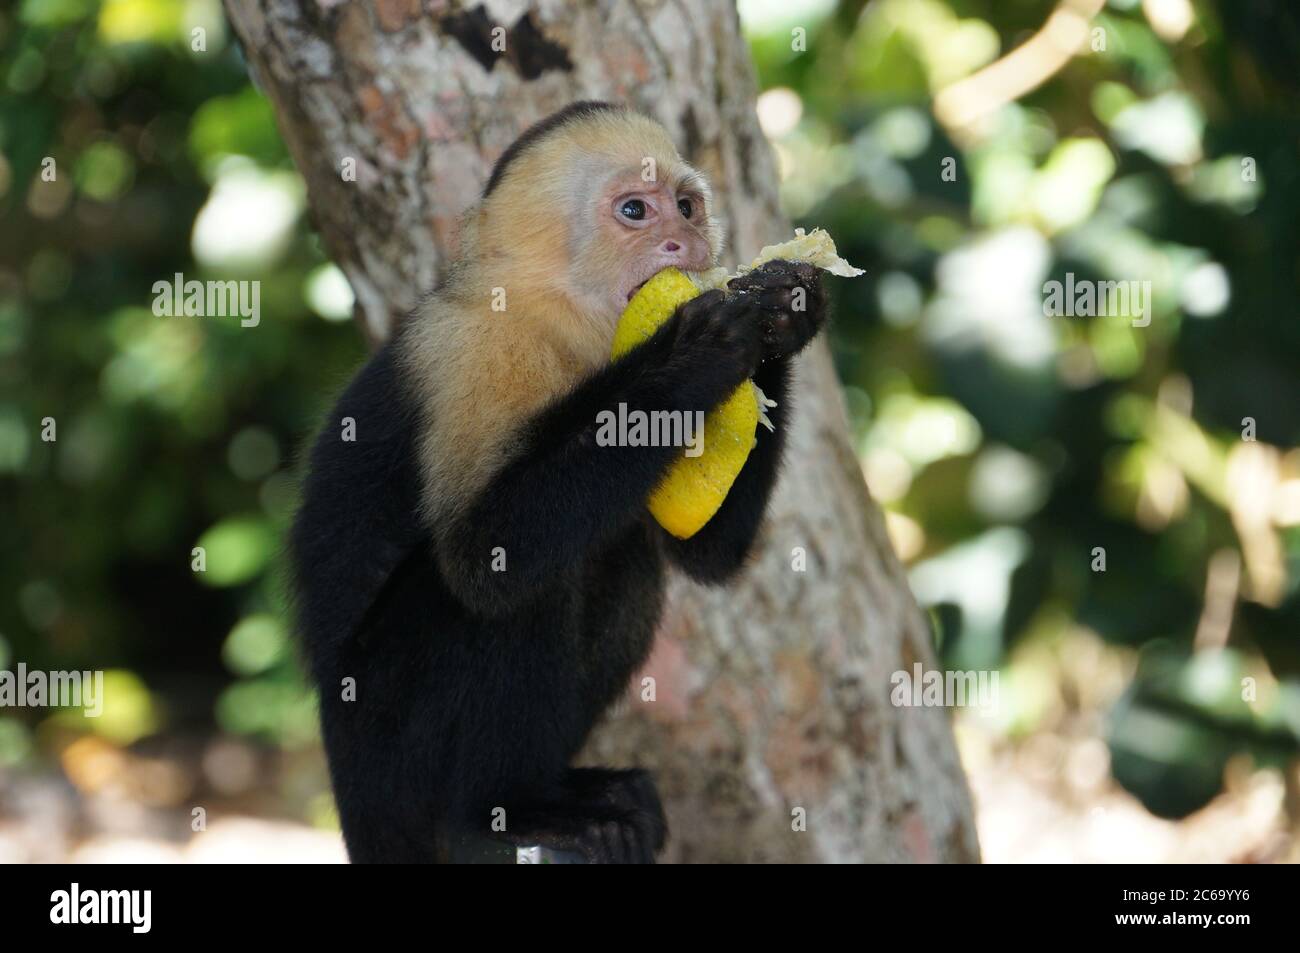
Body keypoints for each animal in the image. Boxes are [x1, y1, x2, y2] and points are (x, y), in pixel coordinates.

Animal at [289, 102, 828, 863]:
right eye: (635, 210)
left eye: (687, 206)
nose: (685, 241)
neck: (567, 320)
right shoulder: (478, 350)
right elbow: (486, 557)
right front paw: (692, 353)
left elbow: (704, 550)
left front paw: (784, 310)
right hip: (387, 752)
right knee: (518, 586)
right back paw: (507, 810)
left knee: (624, 553)